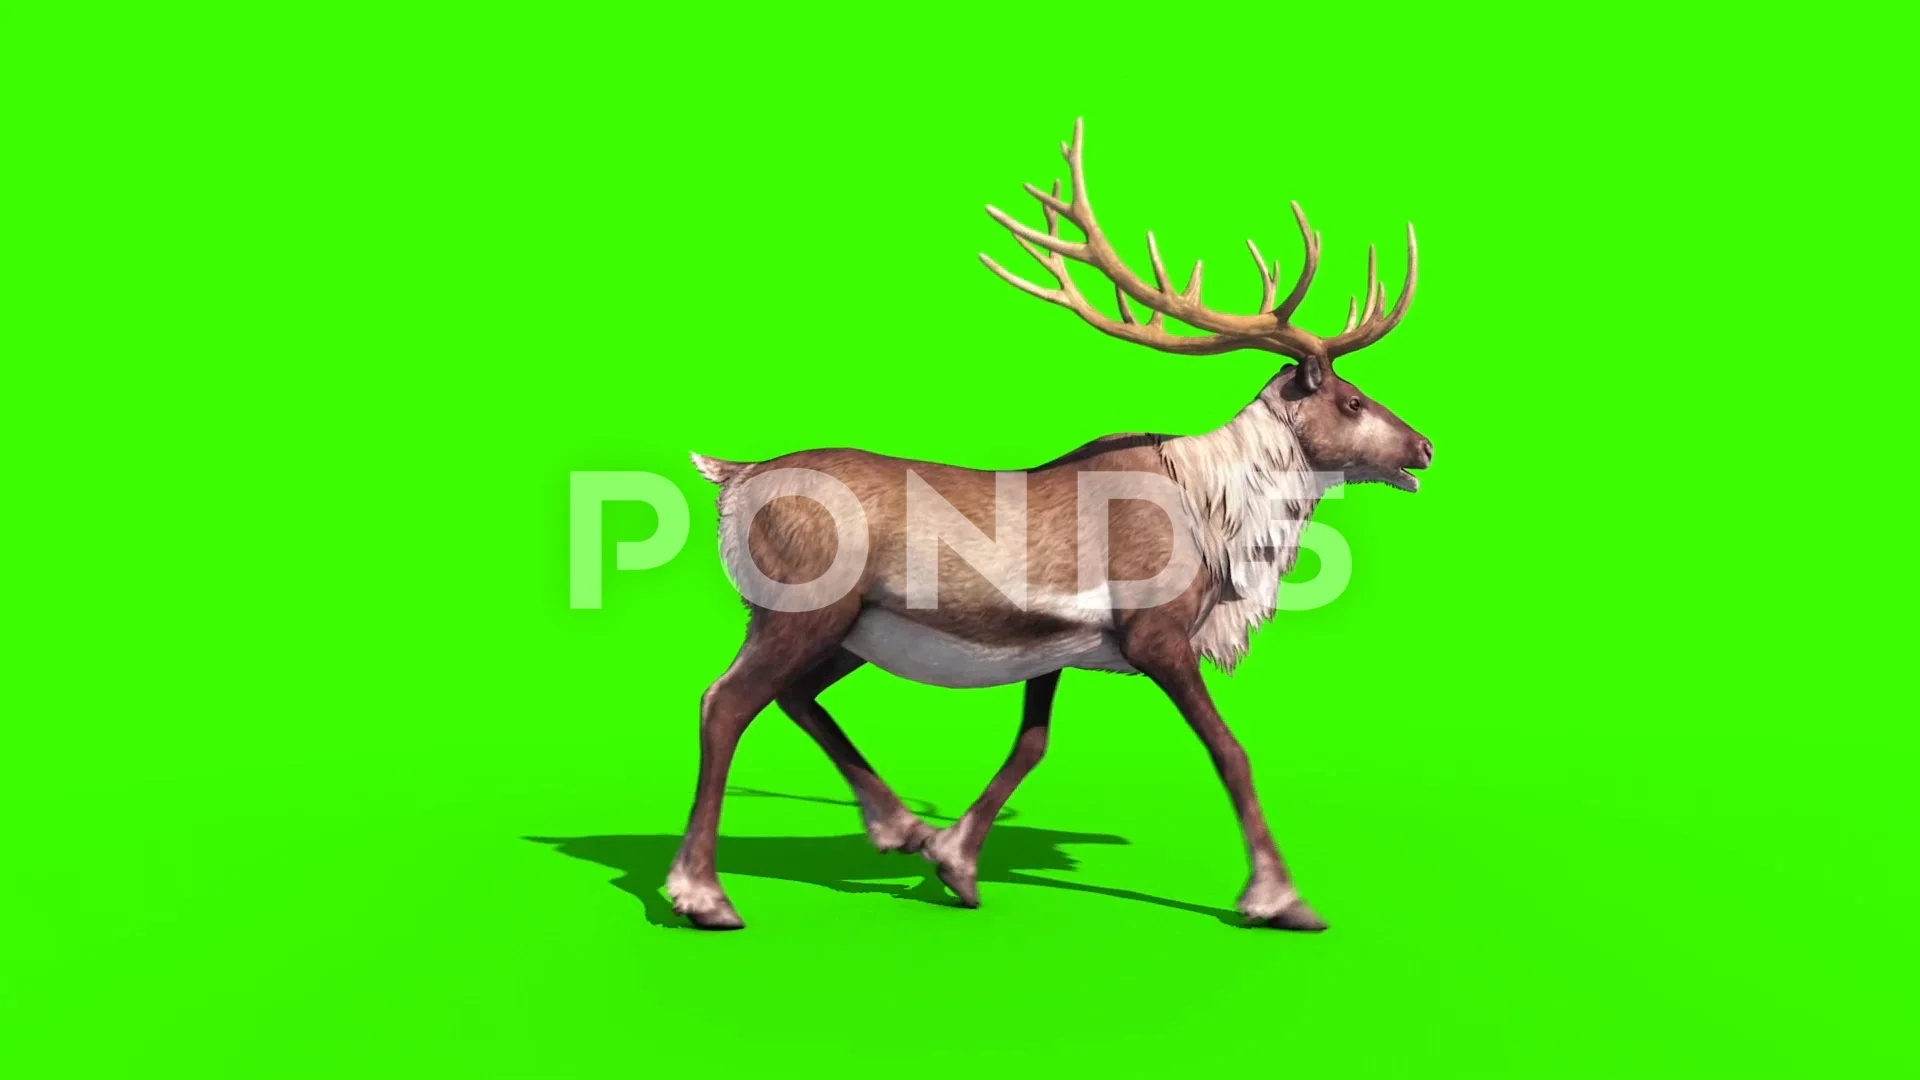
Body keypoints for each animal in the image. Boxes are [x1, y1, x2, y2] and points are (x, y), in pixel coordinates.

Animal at [668, 118, 1433, 932]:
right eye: (1350, 401)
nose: (1425, 446)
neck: (1217, 521)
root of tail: (732, 476)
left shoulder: (1052, 644)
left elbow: (1030, 746)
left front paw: (955, 864)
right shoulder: (1155, 634)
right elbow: (1230, 751)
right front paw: (1281, 899)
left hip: (851, 629)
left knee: (793, 696)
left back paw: (901, 828)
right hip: (803, 610)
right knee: (725, 702)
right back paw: (704, 894)